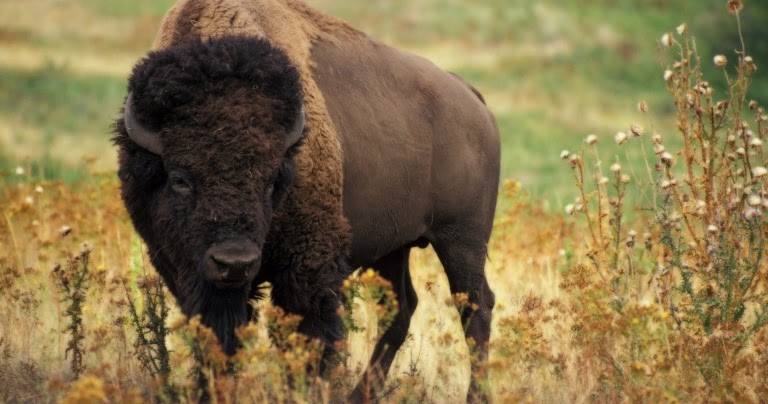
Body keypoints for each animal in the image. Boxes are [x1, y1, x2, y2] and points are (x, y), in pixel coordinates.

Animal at [114, 0, 500, 401]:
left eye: (271, 180)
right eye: (179, 180)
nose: (234, 262)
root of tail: (471, 97)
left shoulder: (307, 268)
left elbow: (308, 339)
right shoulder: (185, 272)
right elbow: (217, 338)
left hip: (462, 240)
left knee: (475, 307)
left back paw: (475, 395)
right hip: (394, 248)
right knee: (401, 308)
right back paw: (359, 394)